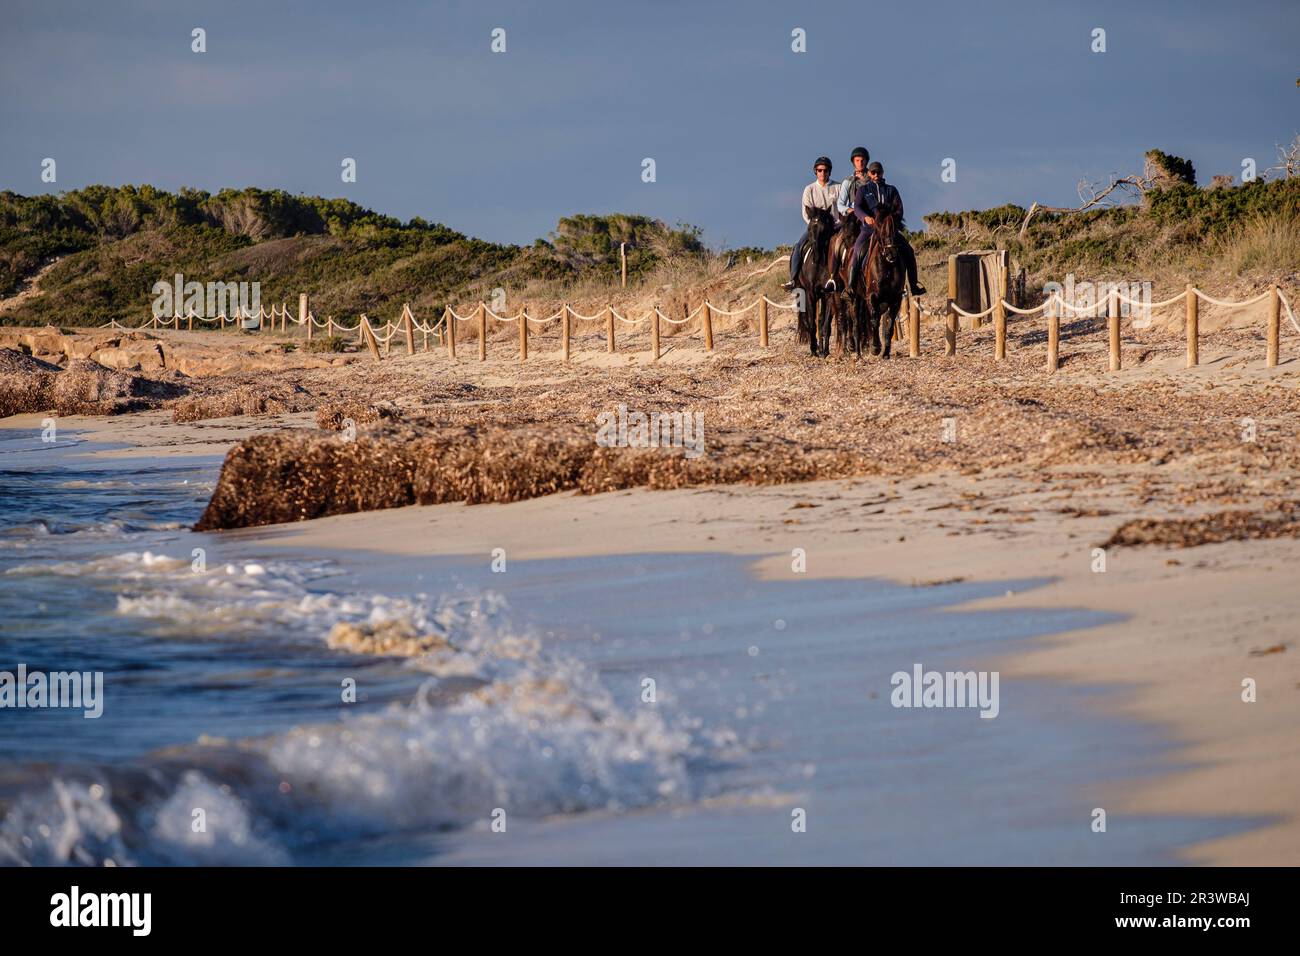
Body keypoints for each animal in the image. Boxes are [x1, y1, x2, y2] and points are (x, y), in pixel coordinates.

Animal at [793, 205, 837, 357]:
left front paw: (825, 351)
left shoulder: (829, 294)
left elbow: (825, 325)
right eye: (810, 228)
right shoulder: (811, 294)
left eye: (824, 229)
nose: (816, 257)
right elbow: (812, 324)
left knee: (821, 319)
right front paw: (813, 350)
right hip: (802, 294)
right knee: (807, 320)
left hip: (822, 296)